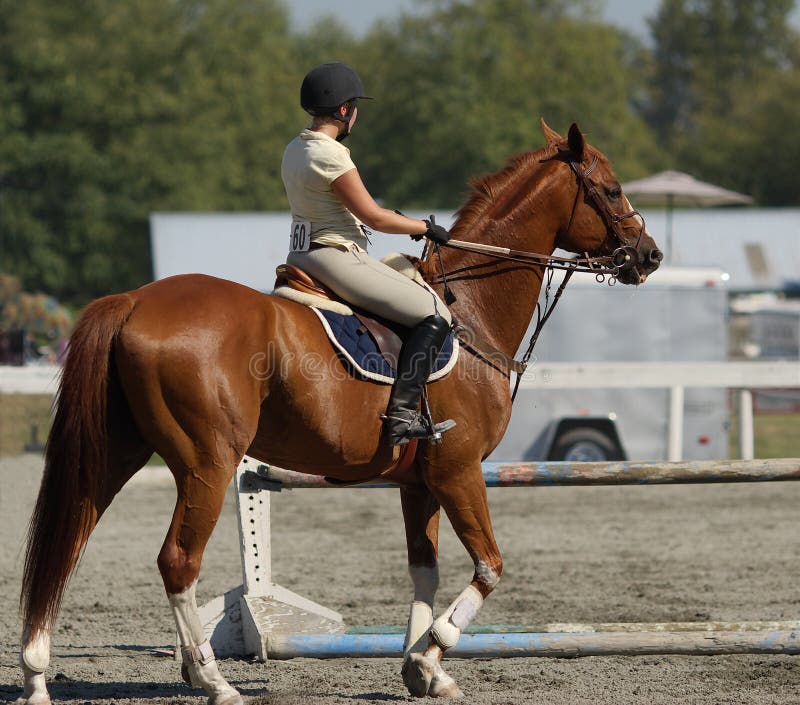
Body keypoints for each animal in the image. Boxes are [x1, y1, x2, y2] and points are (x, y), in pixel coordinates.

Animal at [17, 120, 661, 704]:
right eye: (610, 190)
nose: (649, 255)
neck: (471, 309)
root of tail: (132, 301)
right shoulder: (459, 470)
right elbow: (490, 565)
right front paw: (434, 649)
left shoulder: (420, 480)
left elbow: (423, 569)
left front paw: (421, 669)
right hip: (208, 462)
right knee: (177, 560)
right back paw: (213, 681)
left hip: (116, 452)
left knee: (67, 542)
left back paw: (36, 677)